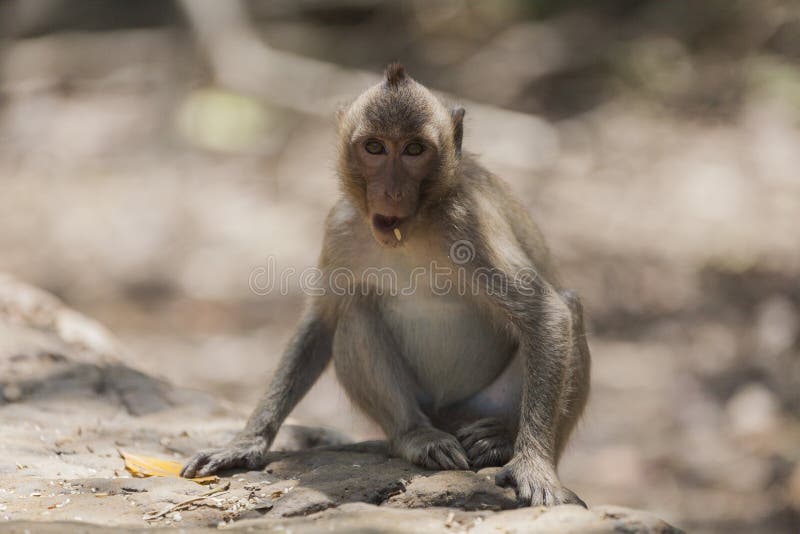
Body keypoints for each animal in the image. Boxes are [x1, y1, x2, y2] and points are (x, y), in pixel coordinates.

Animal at [181, 63, 591, 507]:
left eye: (414, 150)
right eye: (375, 148)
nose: (392, 191)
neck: (410, 231)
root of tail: (448, 416)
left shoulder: (468, 223)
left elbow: (545, 314)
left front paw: (533, 465)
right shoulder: (340, 227)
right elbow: (321, 324)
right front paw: (245, 443)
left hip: (483, 403)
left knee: (569, 307)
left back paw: (500, 437)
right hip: (429, 408)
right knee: (356, 312)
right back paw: (416, 436)